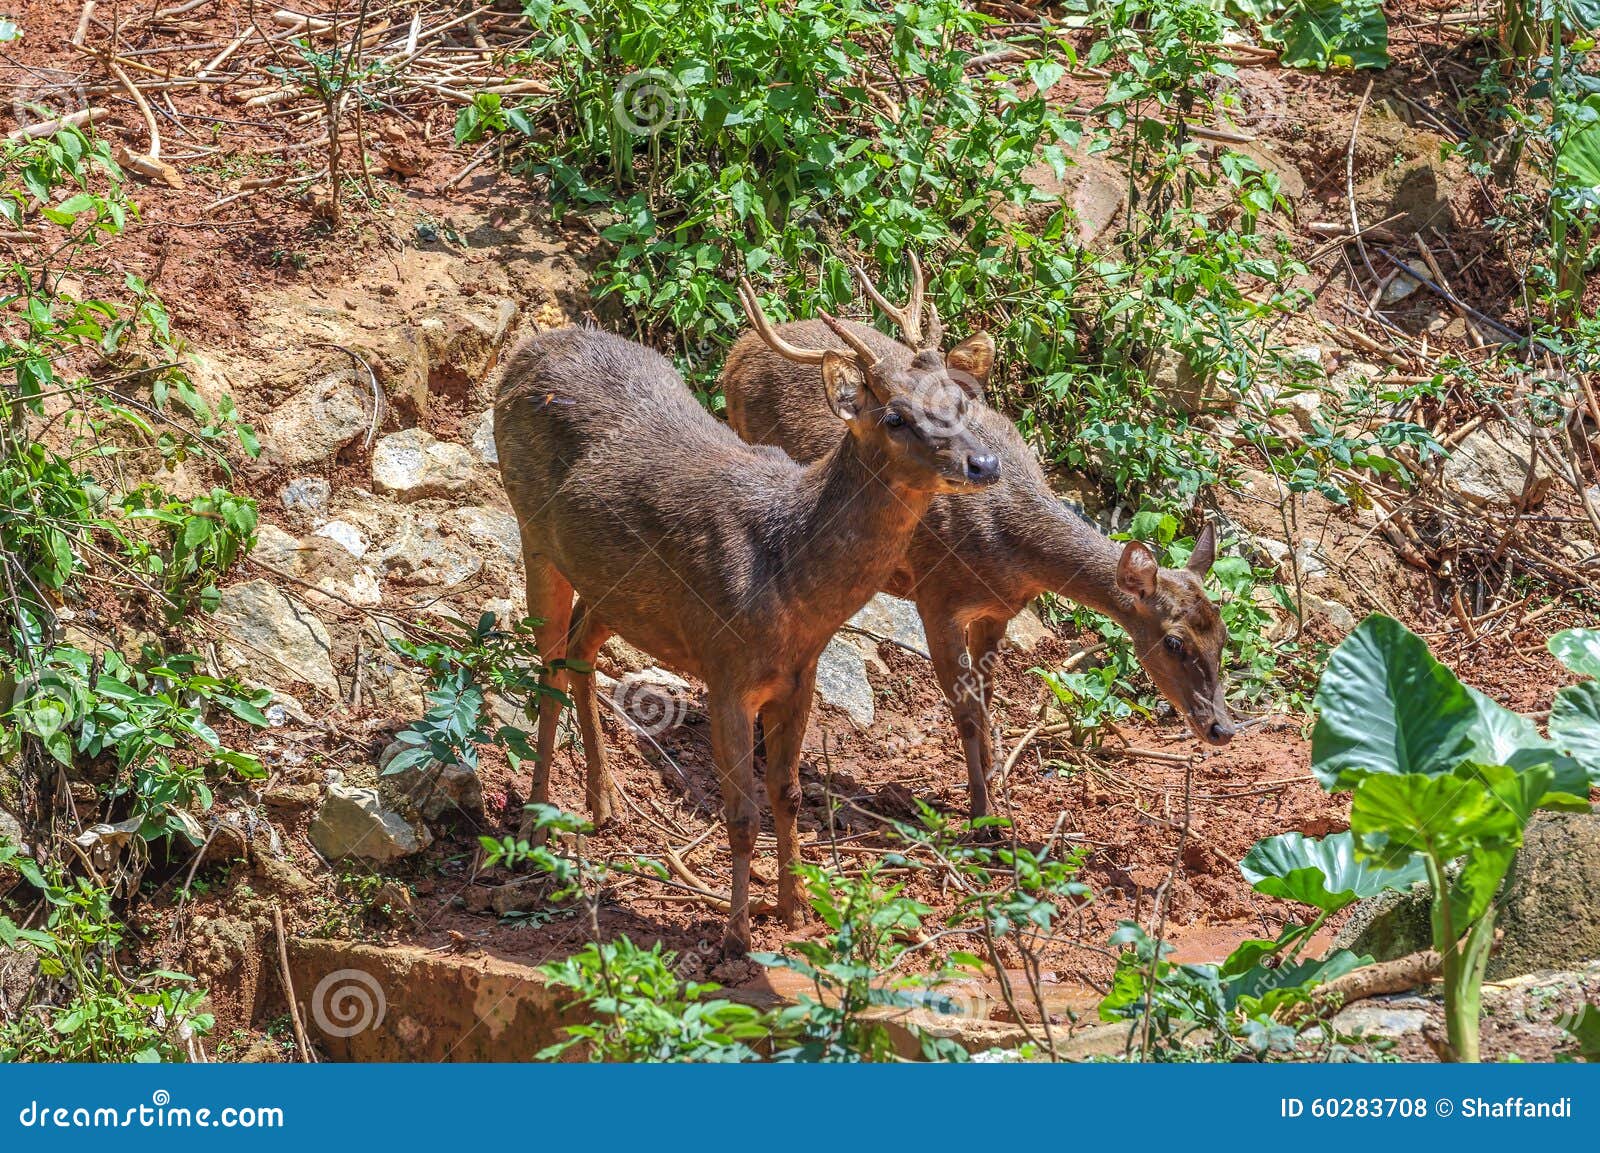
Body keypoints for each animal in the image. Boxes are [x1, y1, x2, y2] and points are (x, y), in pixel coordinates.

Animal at [493, 277, 1000, 955]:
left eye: (960, 401)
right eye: (895, 417)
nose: (984, 465)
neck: (788, 584)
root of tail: (525, 353)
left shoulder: (799, 678)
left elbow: (787, 794)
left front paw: (794, 909)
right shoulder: (725, 667)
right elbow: (741, 813)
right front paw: (736, 935)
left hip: (613, 588)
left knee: (579, 650)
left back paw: (605, 805)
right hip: (532, 528)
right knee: (546, 662)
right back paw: (536, 824)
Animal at [721, 254, 1235, 821]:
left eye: (1223, 635)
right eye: (1174, 640)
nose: (1222, 728)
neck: (1011, 551)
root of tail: (736, 352)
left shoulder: (998, 610)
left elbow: (987, 700)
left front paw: (996, 789)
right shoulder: (936, 596)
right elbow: (965, 708)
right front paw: (981, 814)